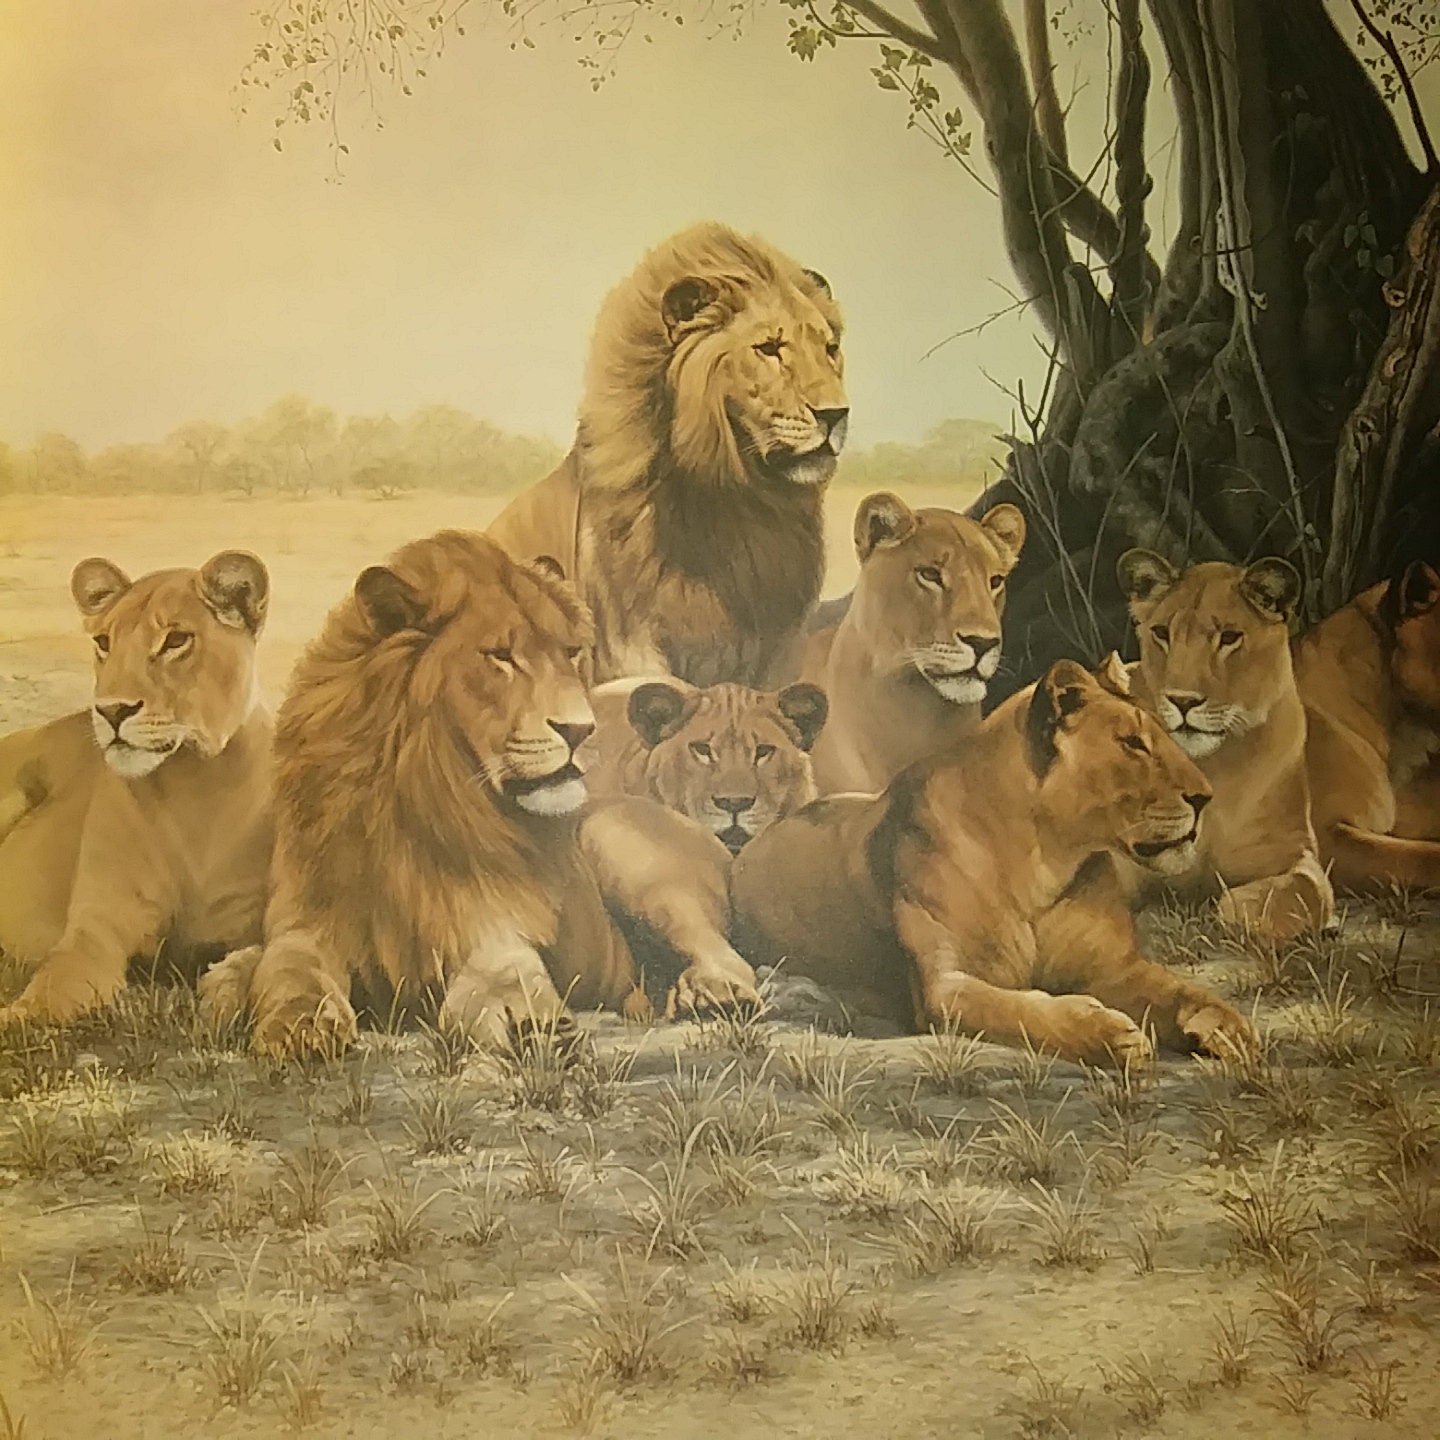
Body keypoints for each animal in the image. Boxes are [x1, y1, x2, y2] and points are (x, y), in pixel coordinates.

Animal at [0, 551, 273, 1027]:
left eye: (176, 640)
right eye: (104, 642)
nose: (111, 711)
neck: (194, 788)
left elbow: (261, 957)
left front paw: (225, 987)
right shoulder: (95, 932)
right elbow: (46, 997)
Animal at [198, 531, 759, 1058]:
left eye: (570, 653)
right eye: (500, 657)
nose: (582, 730)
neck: (422, 797)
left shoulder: (490, 925)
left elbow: (505, 971)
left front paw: (528, 1019)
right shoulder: (309, 922)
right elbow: (287, 968)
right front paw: (298, 1024)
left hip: (626, 853)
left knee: (724, 953)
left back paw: (711, 993)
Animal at [487, 222, 846, 687]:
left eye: (830, 349)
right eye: (769, 348)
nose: (837, 414)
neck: (738, 506)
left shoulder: (782, 651)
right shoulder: (629, 650)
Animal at [730, 655, 1253, 1063]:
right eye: (1132, 743)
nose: (1205, 797)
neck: (1045, 861)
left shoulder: (1114, 968)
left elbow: (1180, 991)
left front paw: (1228, 1027)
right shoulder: (946, 987)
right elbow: (1025, 1009)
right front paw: (1110, 1034)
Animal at [1117, 551, 1334, 940]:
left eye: (1229, 638)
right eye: (1161, 633)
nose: (1182, 701)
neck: (1212, 767)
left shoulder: (1297, 853)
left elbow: (1297, 893)